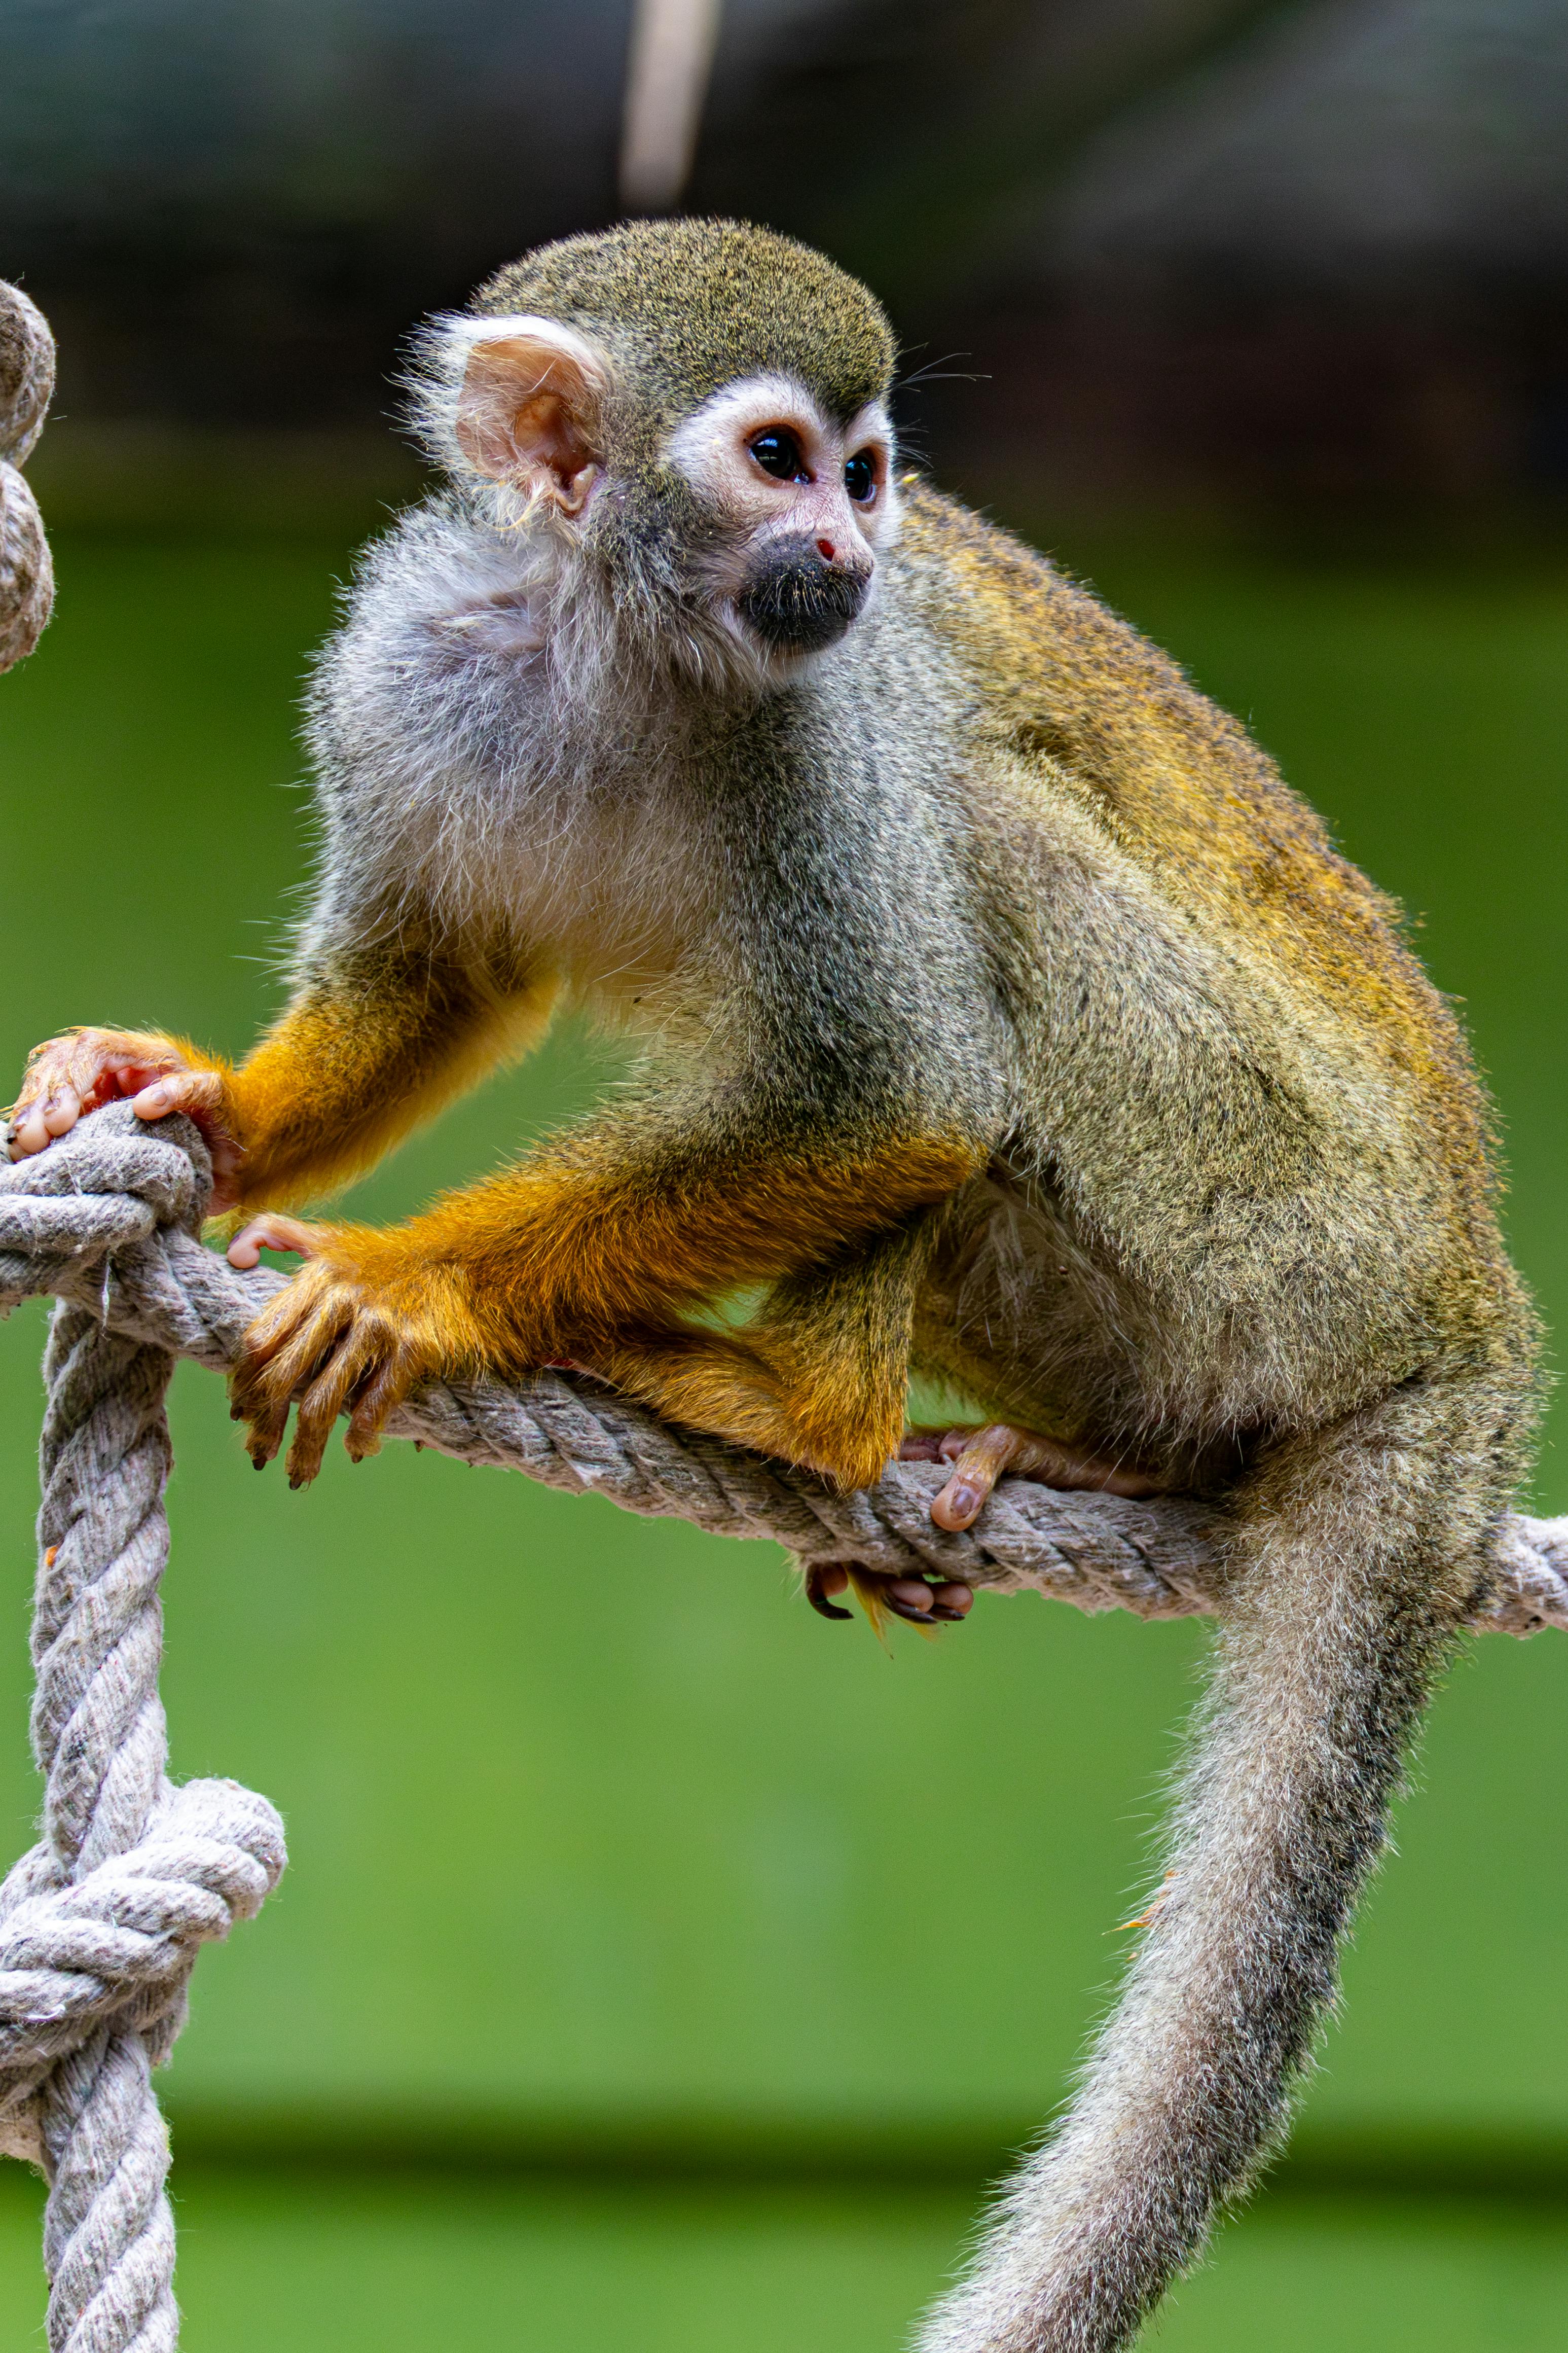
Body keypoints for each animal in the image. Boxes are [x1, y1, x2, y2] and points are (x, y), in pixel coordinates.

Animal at [5, 219, 1540, 2349]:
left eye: (869, 471)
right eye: (776, 458)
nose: (850, 549)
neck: (621, 644)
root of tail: (1473, 1314)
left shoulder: (835, 747)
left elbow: (901, 1084)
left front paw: (411, 1291)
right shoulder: (411, 658)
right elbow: (437, 984)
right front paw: (194, 1109)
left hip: (1282, 1205)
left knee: (979, 845)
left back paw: (807, 1411)